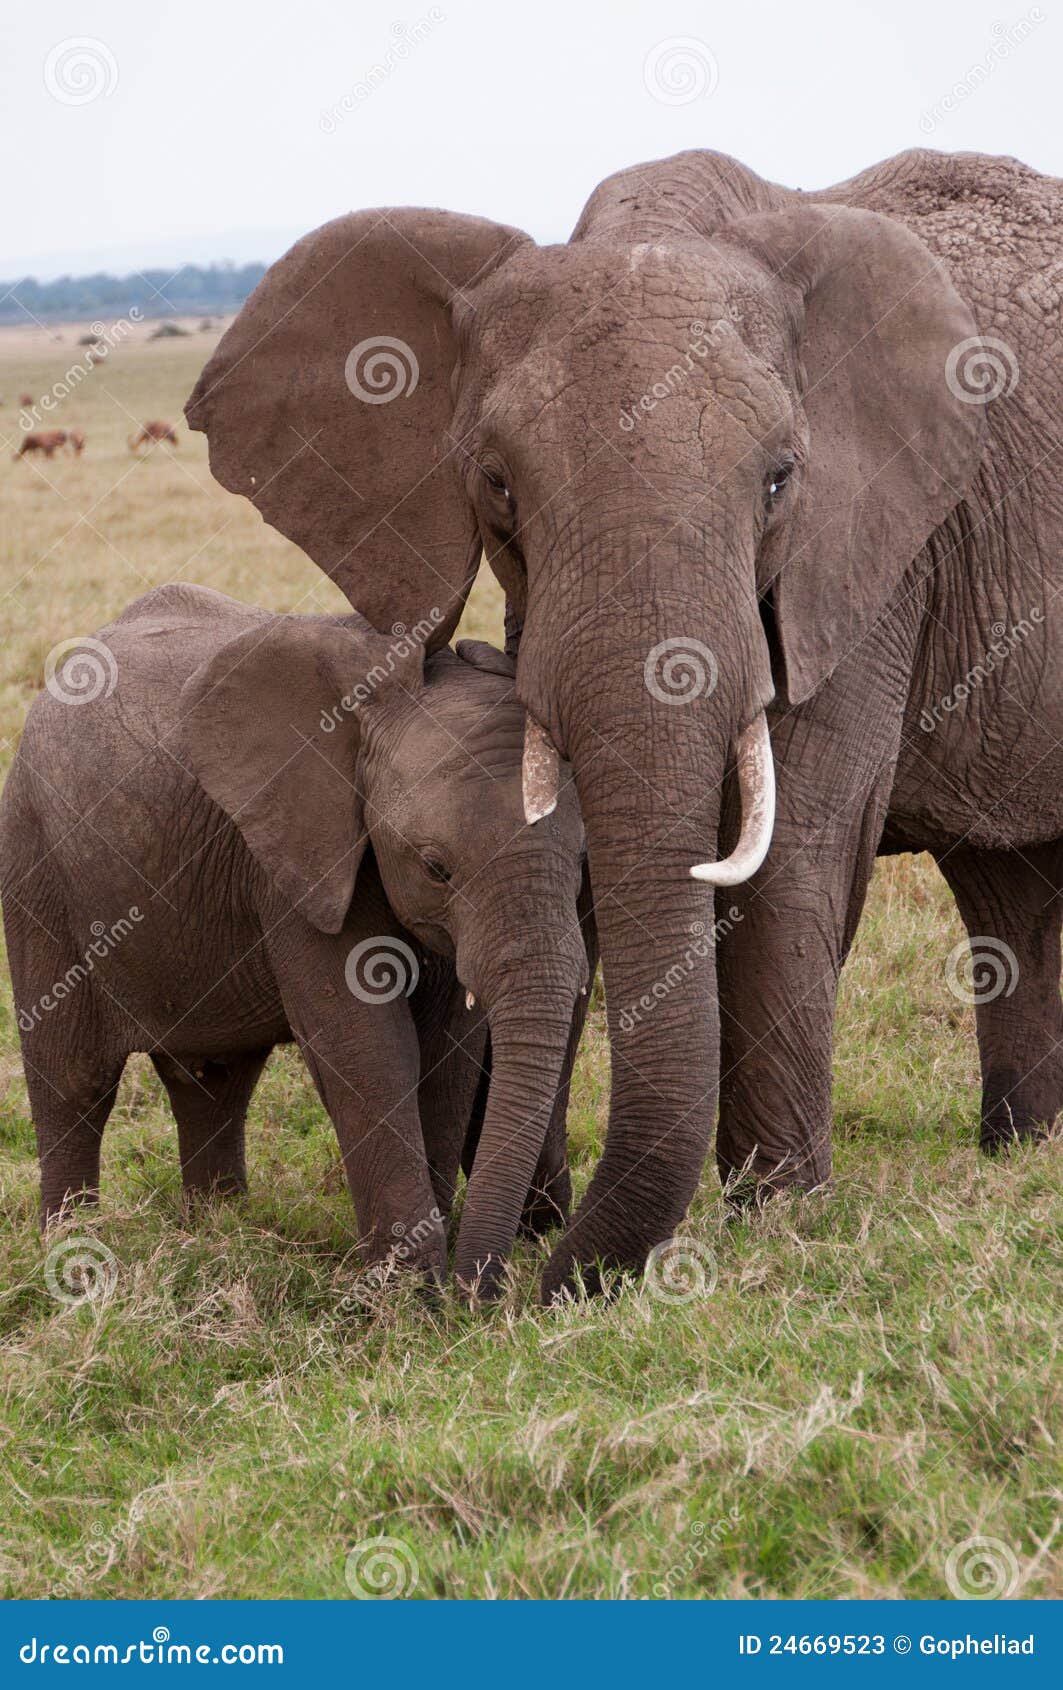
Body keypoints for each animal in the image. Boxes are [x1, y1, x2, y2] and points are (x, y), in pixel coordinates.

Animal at [0, 584, 589, 1293]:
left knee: (214, 1081)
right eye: (435, 867)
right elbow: (365, 1043)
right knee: (75, 1080)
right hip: (34, 860)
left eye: (581, 859)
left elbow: (448, 1049)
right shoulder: (293, 863)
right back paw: (73, 1252)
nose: (487, 1295)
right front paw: (410, 1300)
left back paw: (218, 1231)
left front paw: (430, 1282)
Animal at [185, 146, 1063, 1299]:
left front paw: (775, 1219)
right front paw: (536, 1224)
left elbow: (793, 850)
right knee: (1013, 885)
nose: (513, 1284)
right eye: (495, 484)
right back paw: (1022, 1149)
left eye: (779, 480)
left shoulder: (871, 554)